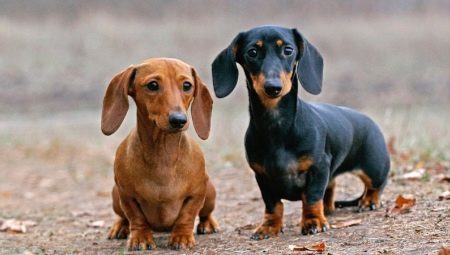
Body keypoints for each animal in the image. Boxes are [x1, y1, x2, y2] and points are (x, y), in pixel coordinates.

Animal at [102, 57, 221, 249]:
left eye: (187, 85)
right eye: (152, 85)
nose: (179, 120)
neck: (163, 155)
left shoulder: (196, 195)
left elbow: (187, 215)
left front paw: (181, 237)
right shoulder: (127, 196)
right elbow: (136, 217)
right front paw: (141, 238)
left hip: (209, 192)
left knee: (204, 214)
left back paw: (208, 223)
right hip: (115, 196)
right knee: (123, 216)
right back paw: (120, 226)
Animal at [211, 24, 390, 238]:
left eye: (288, 50)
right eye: (252, 52)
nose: (273, 87)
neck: (277, 126)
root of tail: (368, 120)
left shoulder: (318, 167)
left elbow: (312, 197)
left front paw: (313, 221)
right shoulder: (262, 176)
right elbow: (273, 204)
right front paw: (269, 226)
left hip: (374, 167)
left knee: (375, 185)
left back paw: (369, 201)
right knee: (331, 187)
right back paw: (328, 208)